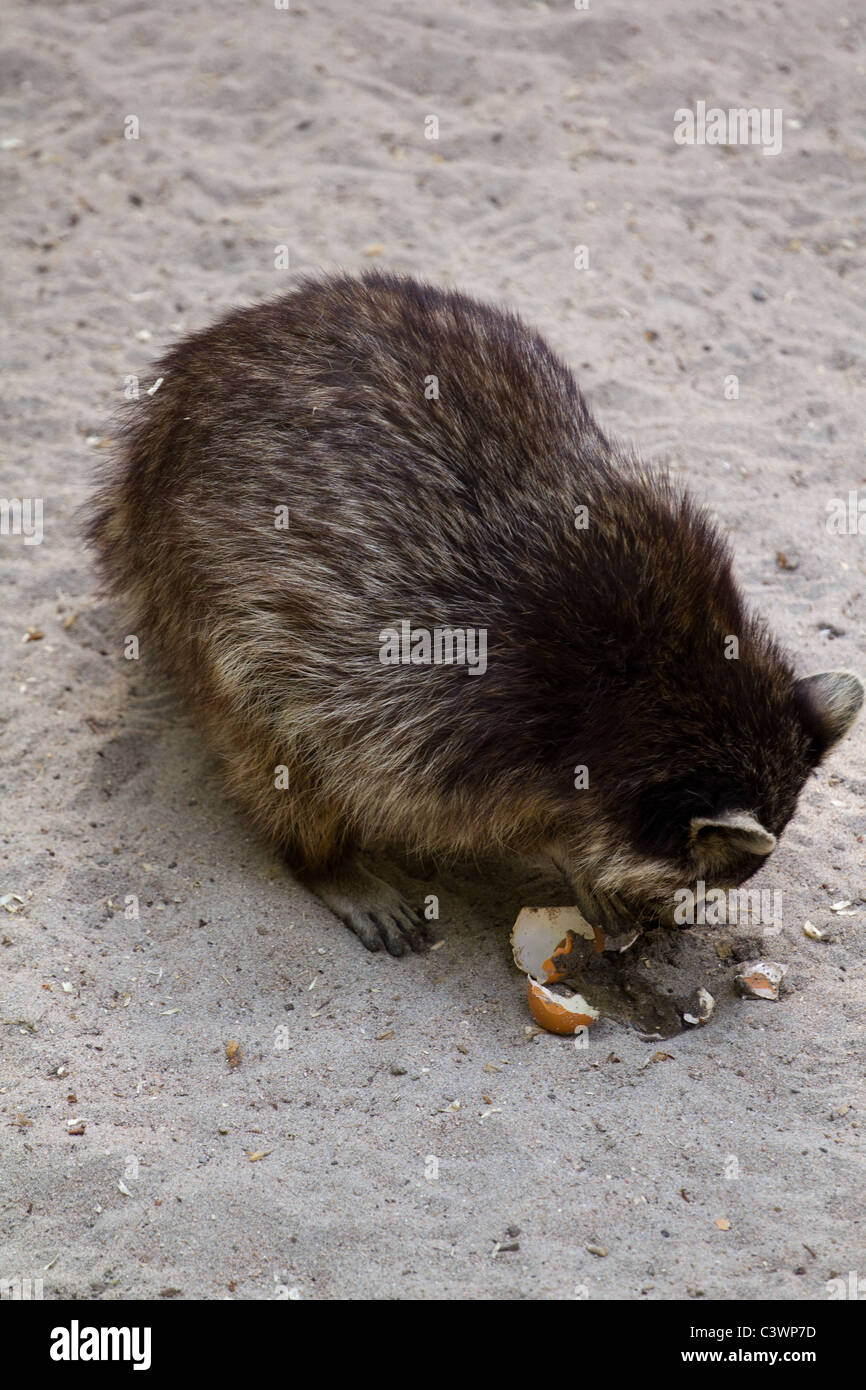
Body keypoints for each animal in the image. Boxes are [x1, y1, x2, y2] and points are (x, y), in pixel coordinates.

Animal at [87, 272, 863, 954]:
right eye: (701, 880)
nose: (673, 926)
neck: (670, 676)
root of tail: (165, 413)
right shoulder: (451, 711)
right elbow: (444, 801)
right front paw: (568, 851)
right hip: (205, 594)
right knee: (274, 742)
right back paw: (324, 859)